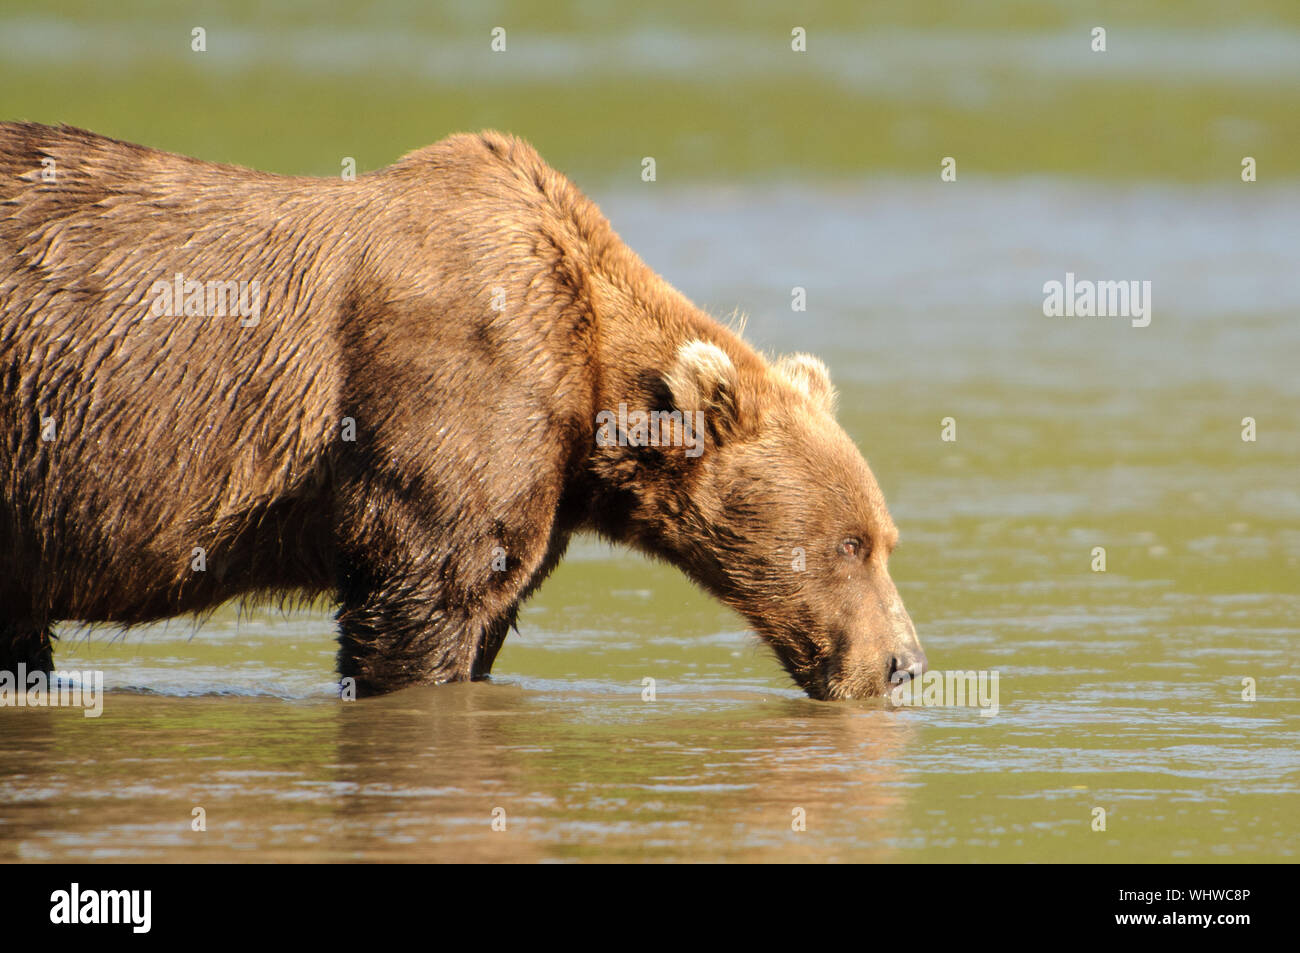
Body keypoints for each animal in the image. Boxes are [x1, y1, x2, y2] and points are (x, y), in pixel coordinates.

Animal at [0, 122, 926, 700]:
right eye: (848, 544)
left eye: (884, 539)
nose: (904, 664)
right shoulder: (456, 390)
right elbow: (425, 605)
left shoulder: (543, 475)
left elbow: (488, 603)